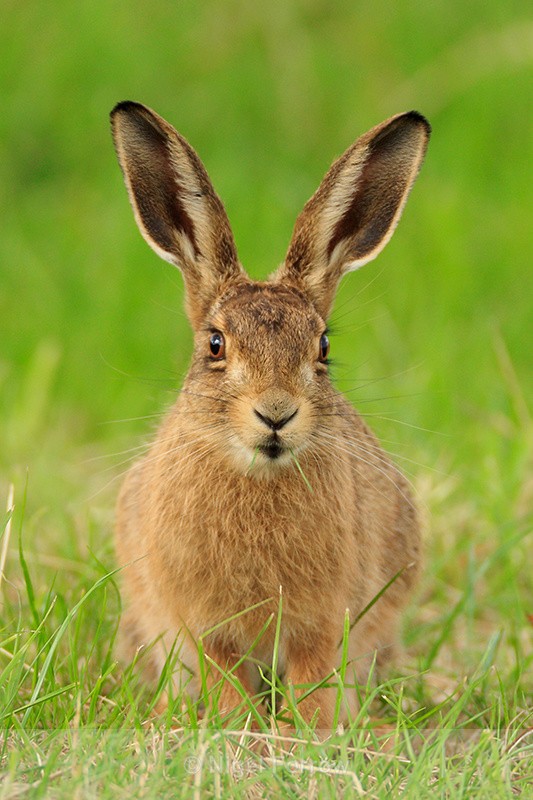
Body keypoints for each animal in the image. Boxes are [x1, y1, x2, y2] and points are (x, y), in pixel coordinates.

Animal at [110, 100, 430, 730]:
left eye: (323, 347)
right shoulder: (205, 627)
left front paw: (307, 731)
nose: (276, 414)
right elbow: (226, 677)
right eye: (215, 344)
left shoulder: (323, 622)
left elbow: (313, 678)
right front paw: (241, 729)